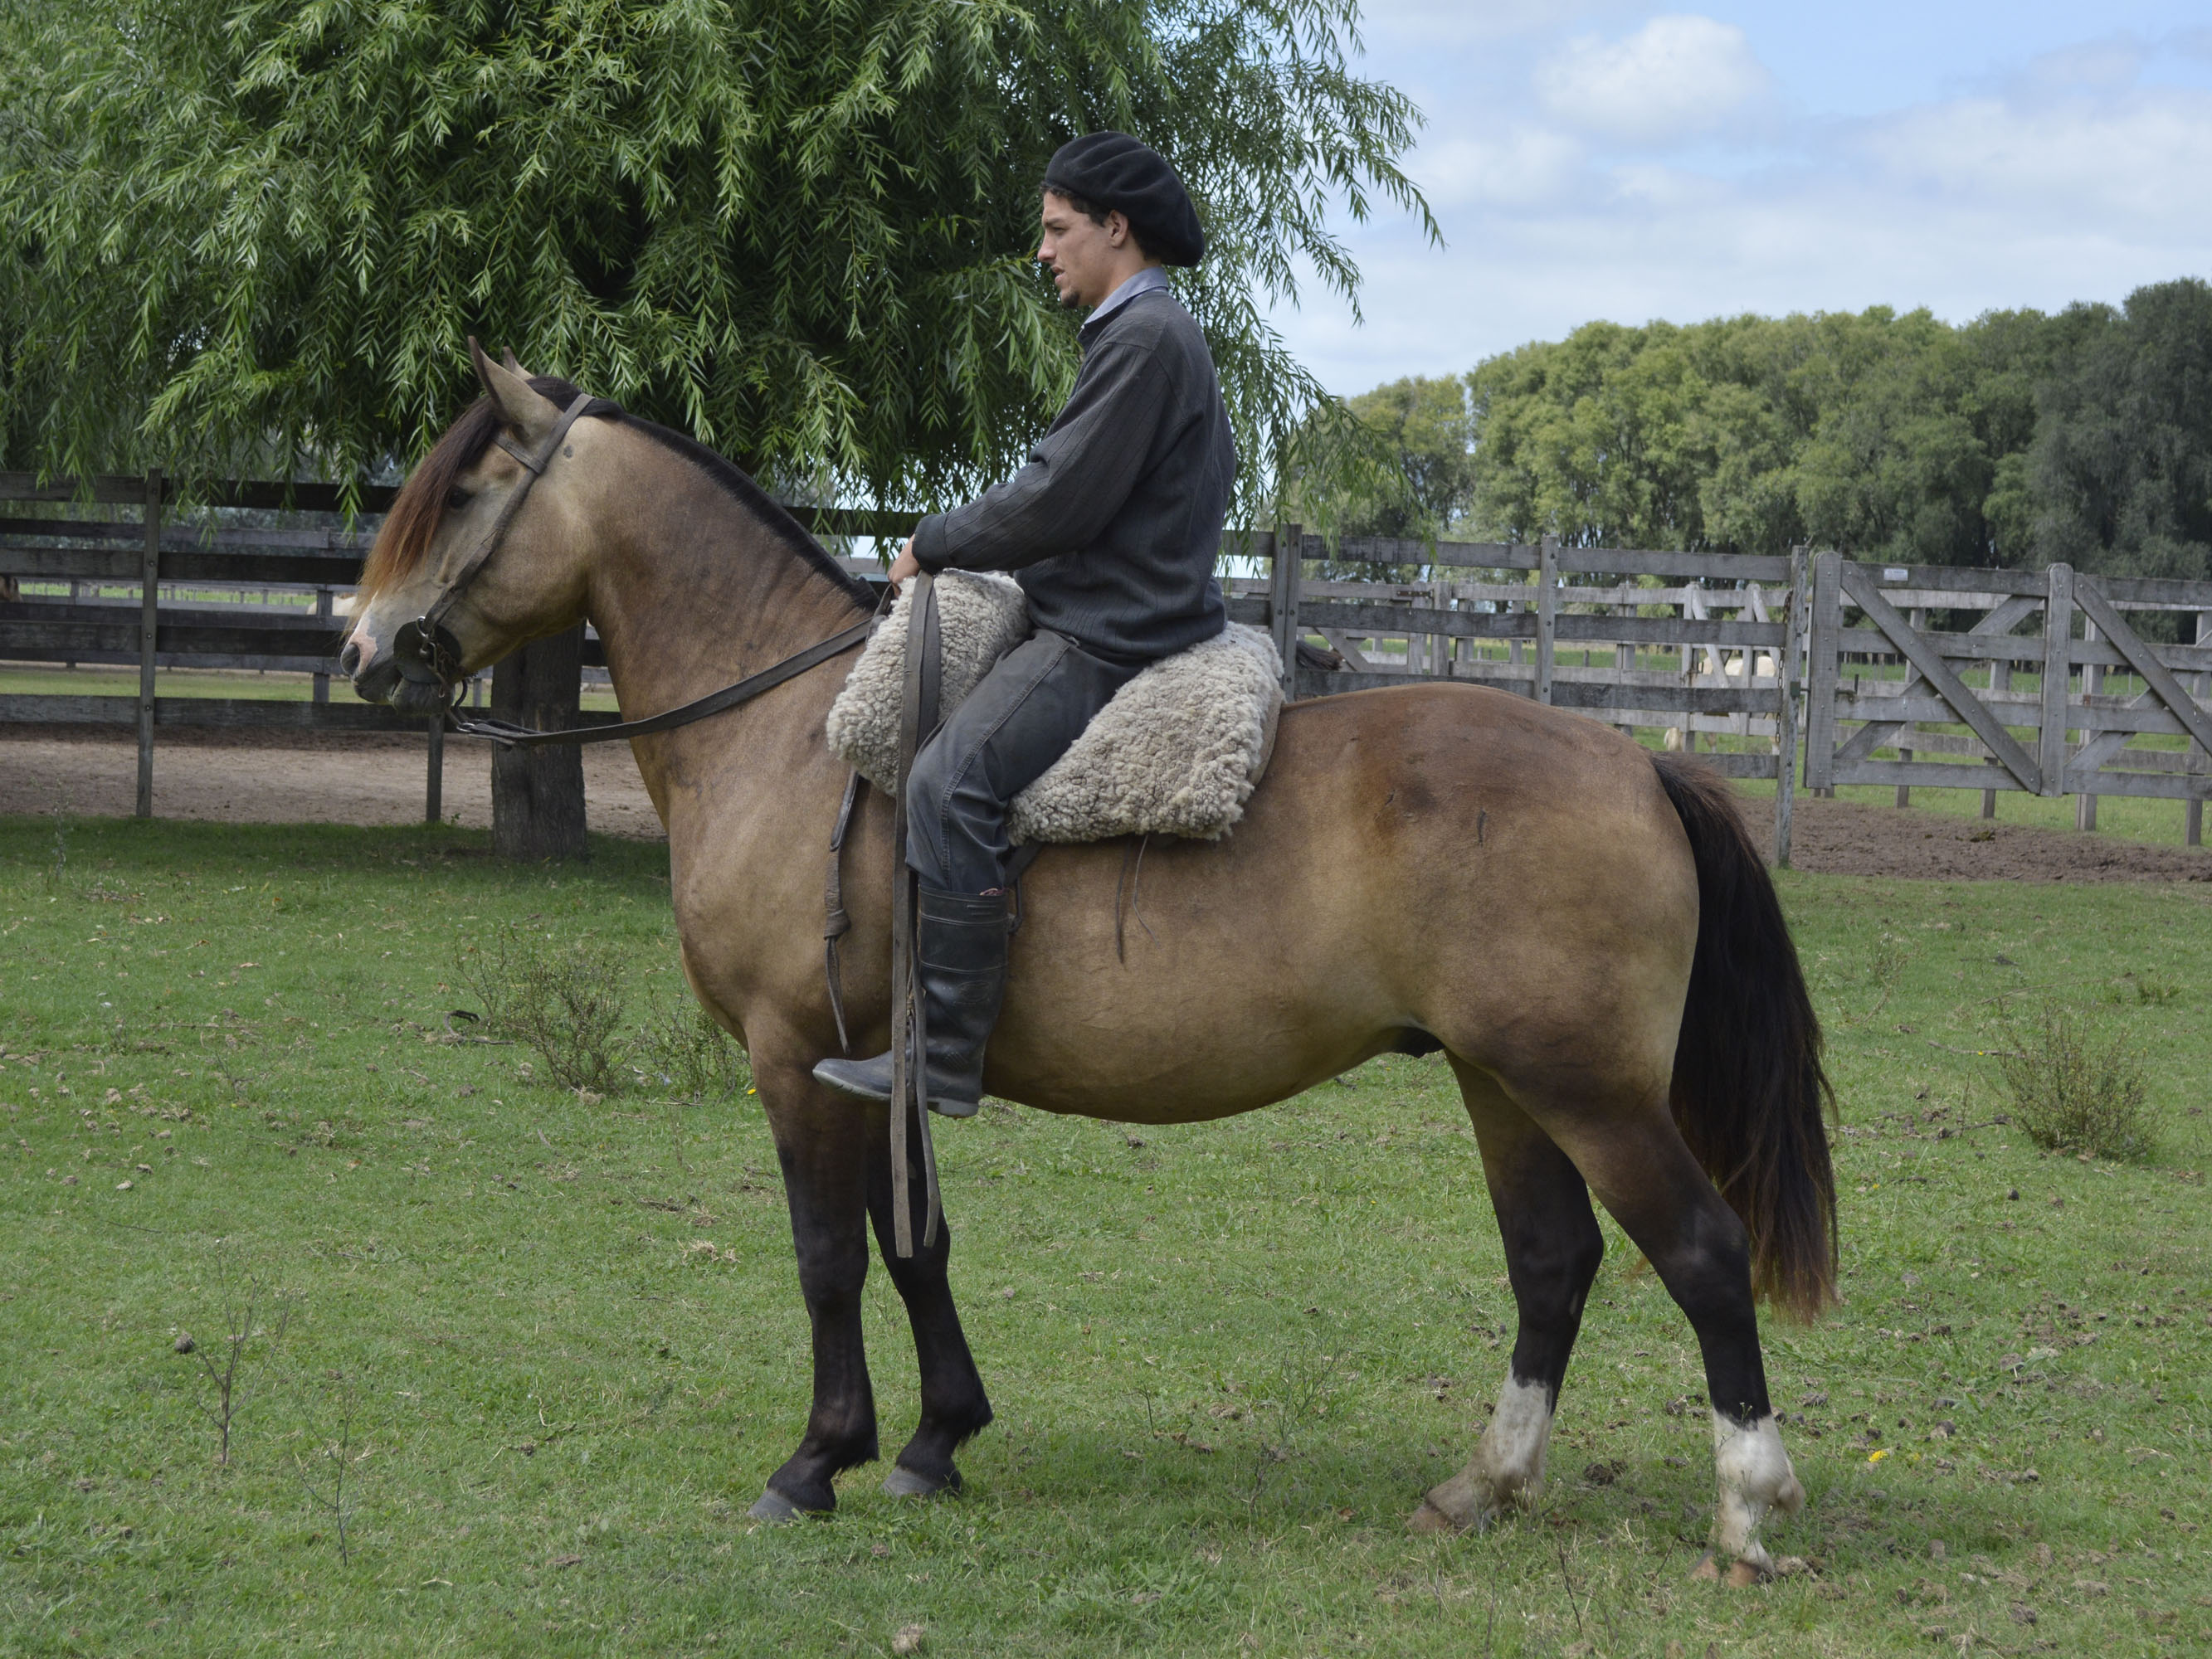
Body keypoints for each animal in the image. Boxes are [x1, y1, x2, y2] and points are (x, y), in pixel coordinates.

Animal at [341, 348, 1836, 1581]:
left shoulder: (793, 1057)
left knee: (1700, 1253)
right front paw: (936, 1441)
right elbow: (913, 1245)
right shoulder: (881, 1068)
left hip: (1582, 1088)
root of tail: (1636, 762)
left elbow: (828, 1258)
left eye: (465, 487)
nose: (360, 650)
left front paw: (818, 1459)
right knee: (1550, 1262)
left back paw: (1747, 1511)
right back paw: (1484, 1486)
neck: (793, 725)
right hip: (1502, 1080)